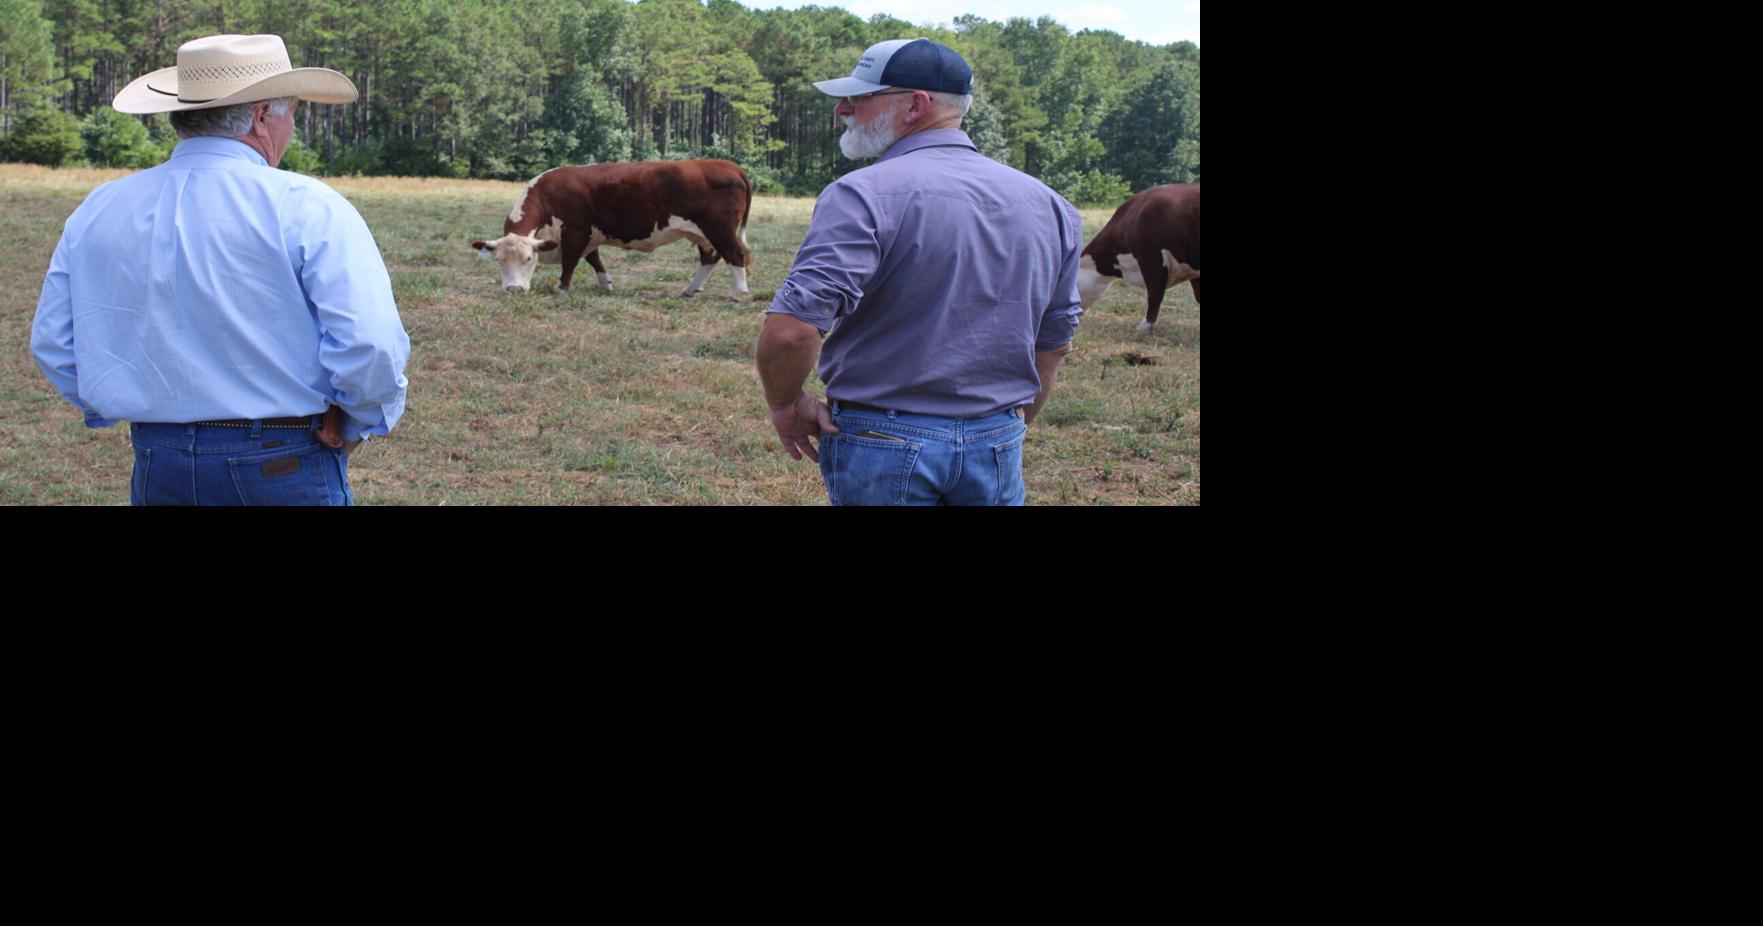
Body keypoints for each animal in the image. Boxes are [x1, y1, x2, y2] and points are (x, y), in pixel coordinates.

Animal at [472, 159, 753, 298]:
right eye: (499, 260)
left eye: (529, 259)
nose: (514, 289)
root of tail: (729, 165)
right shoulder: (589, 234)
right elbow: (594, 259)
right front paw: (605, 284)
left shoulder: (576, 230)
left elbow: (571, 261)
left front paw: (561, 288)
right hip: (704, 234)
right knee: (710, 258)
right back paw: (690, 289)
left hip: (719, 229)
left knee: (735, 254)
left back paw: (738, 292)